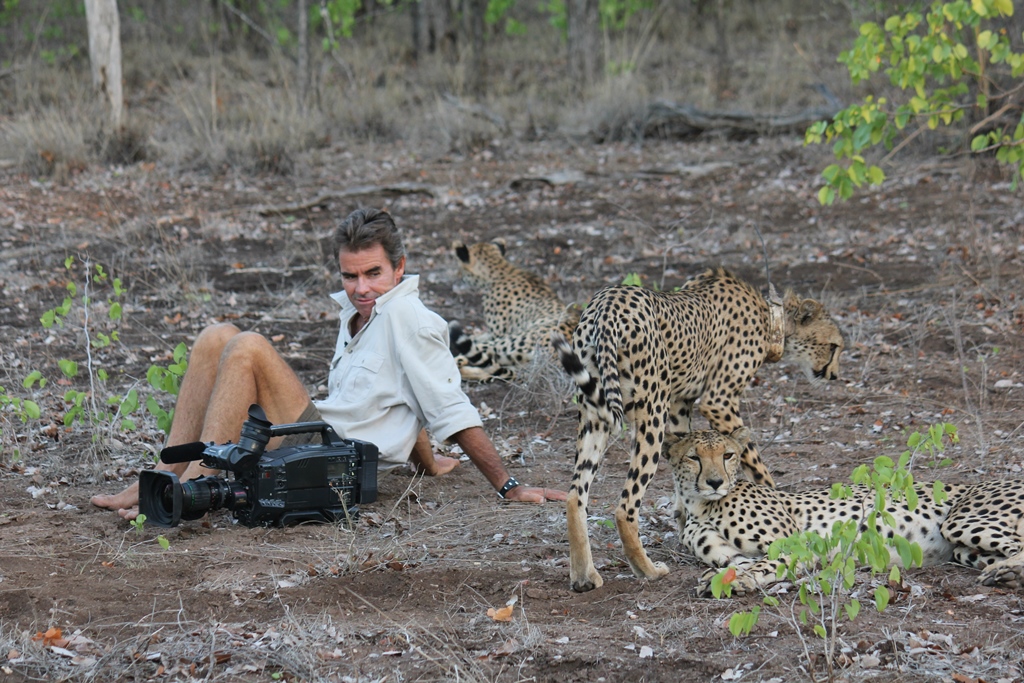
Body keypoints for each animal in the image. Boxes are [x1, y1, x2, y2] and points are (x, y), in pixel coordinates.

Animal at [551, 267, 844, 592]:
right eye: (834, 346)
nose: (834, 375)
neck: (771, 317)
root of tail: (607, 302)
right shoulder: (718, 401)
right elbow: (752, 460)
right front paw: (773, 497)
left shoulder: (681, 404)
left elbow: (685, 466)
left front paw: (686, 521)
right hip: (652, 411)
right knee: (625, 506)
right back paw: (649, 571)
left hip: (594, 414)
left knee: (575, 494)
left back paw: (583, 576)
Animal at [670, 427, 1024, 596]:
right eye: (694, 457)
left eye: (728, 455)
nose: (715, 482)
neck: (699, 505)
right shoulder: (734, 555)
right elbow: (736, 565)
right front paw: (719, 578)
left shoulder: (799, 547)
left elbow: (762, 566)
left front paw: (735, 583)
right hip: (963, 550)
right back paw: (1006, 575)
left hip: (960, 519)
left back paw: (1004, 573)